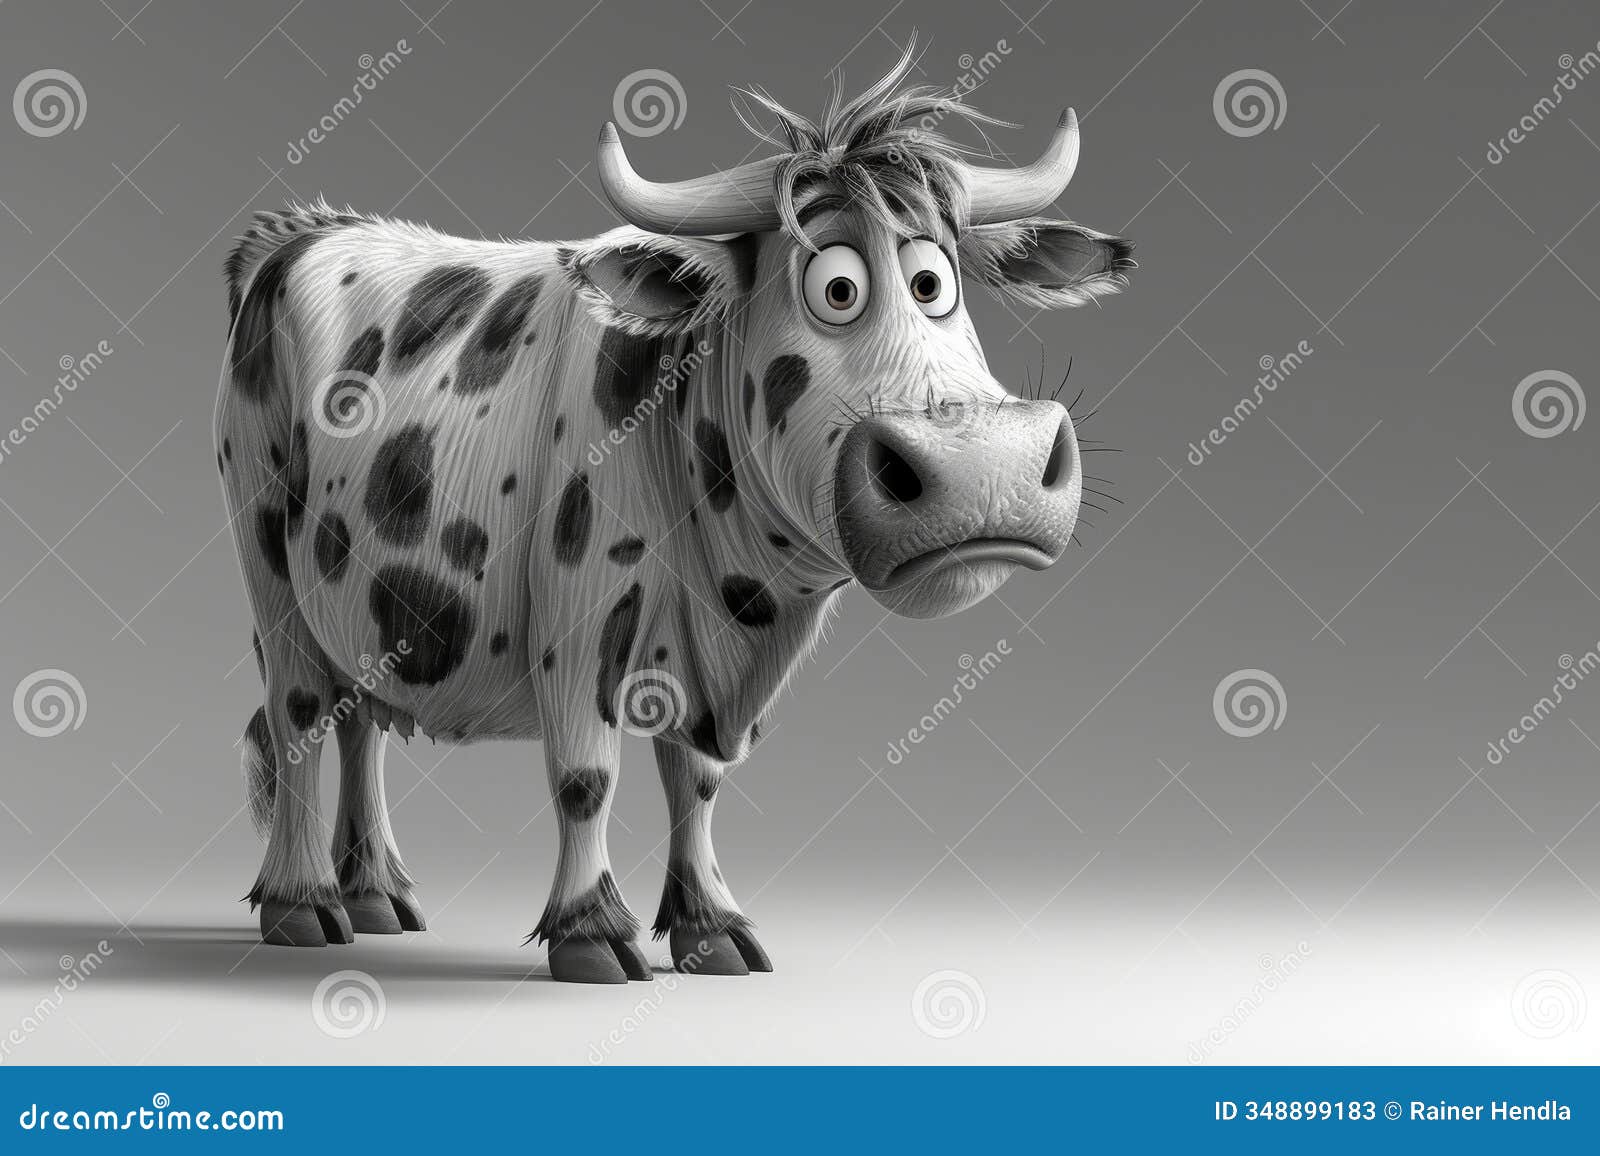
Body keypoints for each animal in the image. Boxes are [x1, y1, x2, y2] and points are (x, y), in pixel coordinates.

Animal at [214, 53, 1134, 983]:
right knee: (300, 714)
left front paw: (709, 925)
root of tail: (304, 231)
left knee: (360, 723)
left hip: (362, 601)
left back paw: (375, 894)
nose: (984, 464)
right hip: (268, 562)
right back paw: (302, 902)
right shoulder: (575, 621)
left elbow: (696, 781)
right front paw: (590, 929)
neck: (740, 589)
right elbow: (585, 775)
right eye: (835, 287)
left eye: (934, 283)